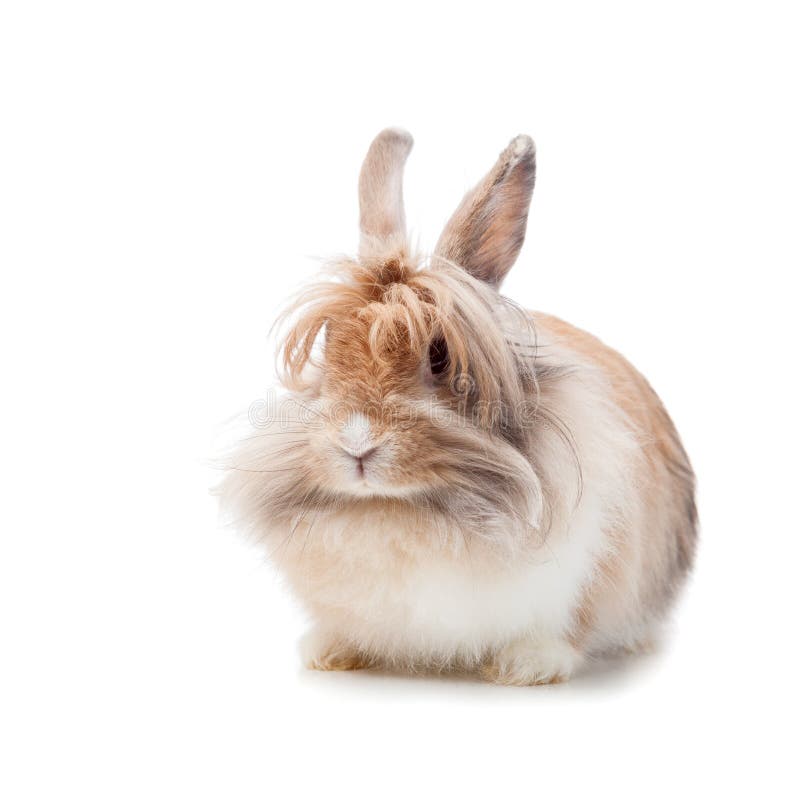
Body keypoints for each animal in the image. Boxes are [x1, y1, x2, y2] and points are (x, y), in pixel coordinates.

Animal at [218, 129, 697, 685]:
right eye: (330, 346)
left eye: (440, 355)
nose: (357, 444)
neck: (404, 511)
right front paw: (329, 653)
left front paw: (526, 666)